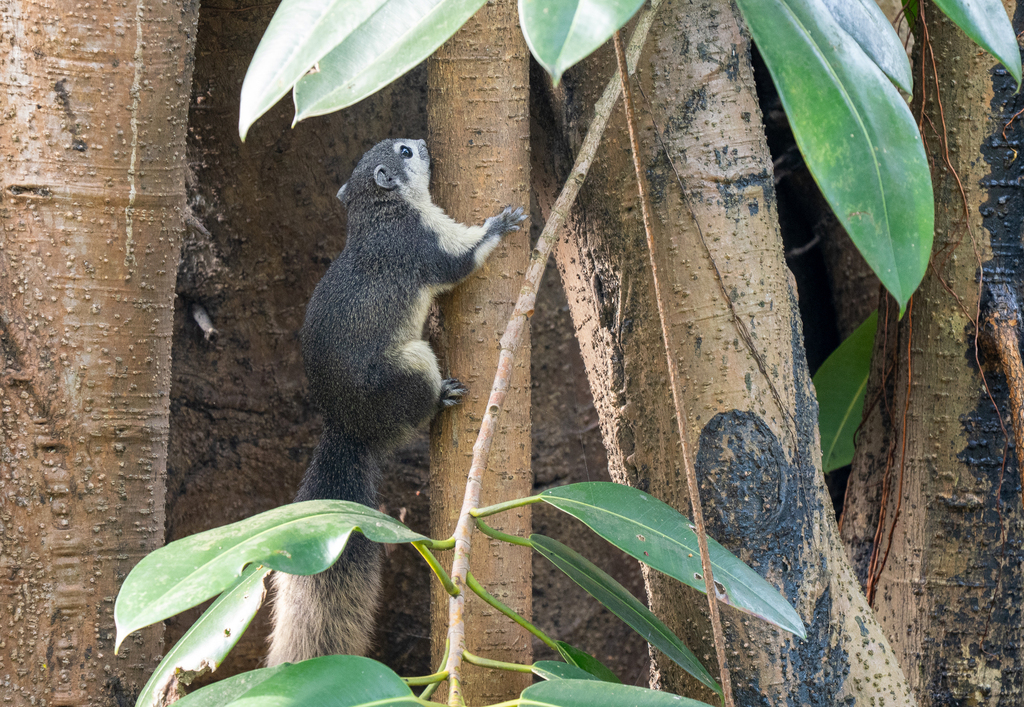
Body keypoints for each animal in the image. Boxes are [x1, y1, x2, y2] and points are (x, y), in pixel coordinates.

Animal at [266, 138, 527, 666]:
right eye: (405, 152)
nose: (423, 143)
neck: (379, 212)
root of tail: (350, 428)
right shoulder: (421, 246)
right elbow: (458, 264)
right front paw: (499, 225)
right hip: (410, 366)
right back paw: (442, 397)